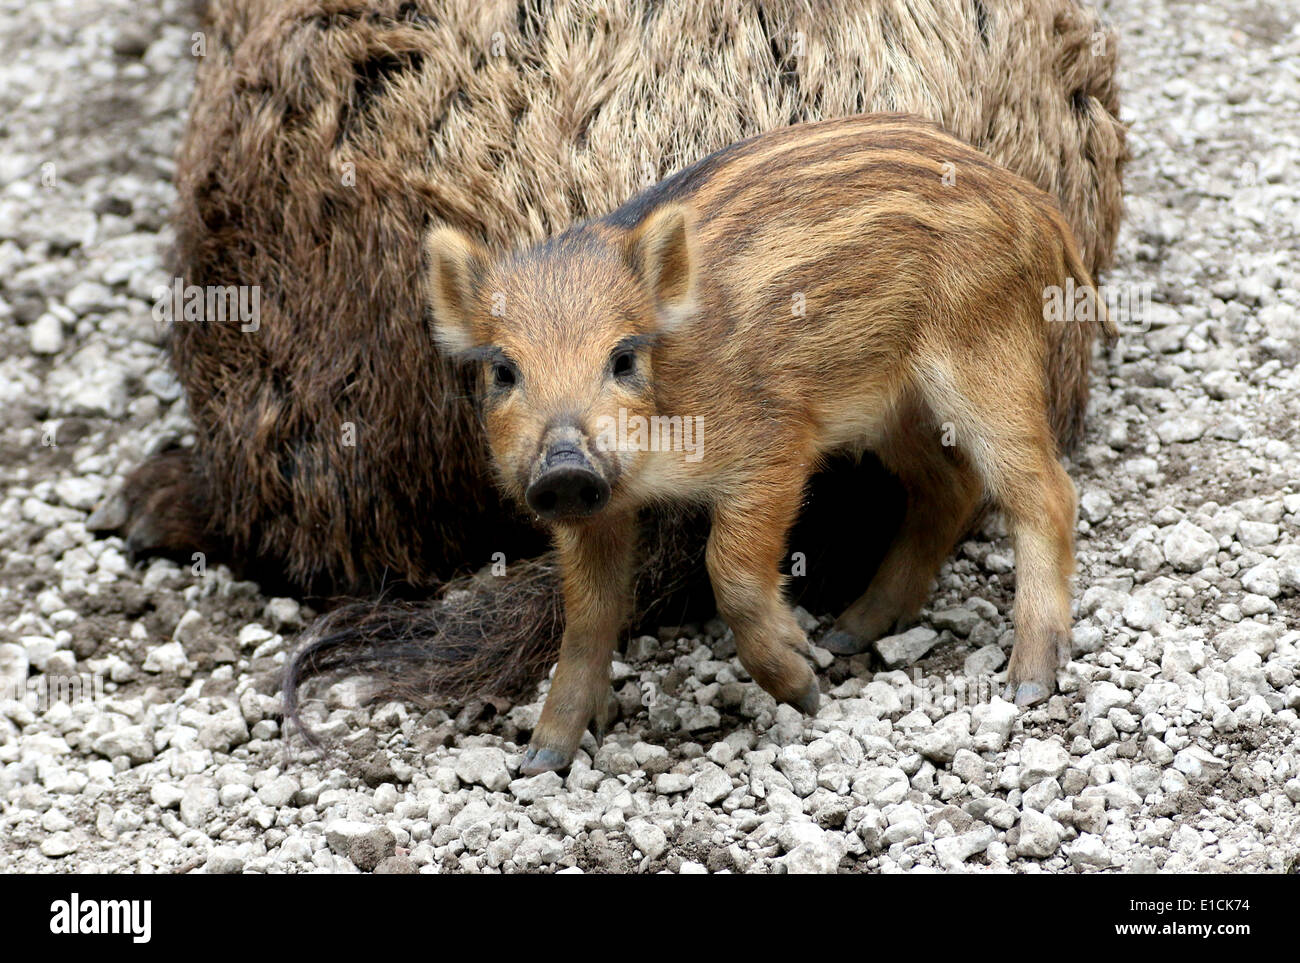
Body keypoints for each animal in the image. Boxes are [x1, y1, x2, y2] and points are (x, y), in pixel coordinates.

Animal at [424, 113, 1116, 775]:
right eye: (503, 370)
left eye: (622, 359)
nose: (565, 466)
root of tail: (1032, 199)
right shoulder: (595, 510)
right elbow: (588, 616)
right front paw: (543, 757)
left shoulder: (777, 439)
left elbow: (728, 567)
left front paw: (803, 688)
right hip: (892, 410)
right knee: (953, 488)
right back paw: (850, 635)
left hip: (983, 356)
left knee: (1046, 492)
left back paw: (1028, 680)